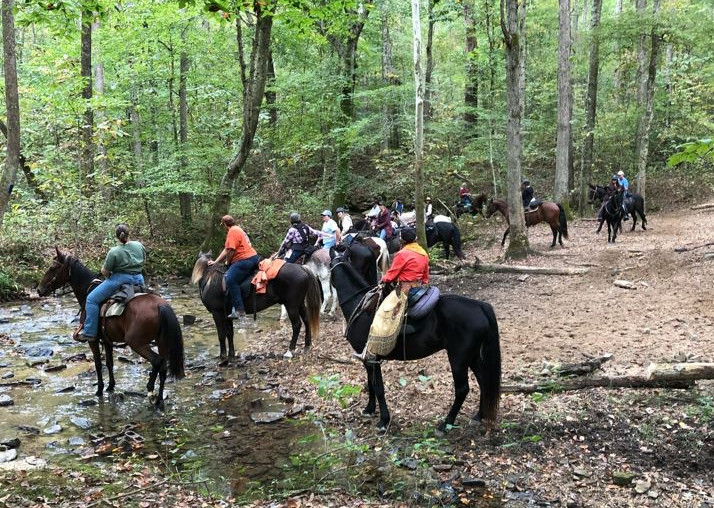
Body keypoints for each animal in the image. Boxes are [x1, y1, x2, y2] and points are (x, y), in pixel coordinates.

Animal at [37, 248, 185, 409]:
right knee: (163, 366)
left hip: (137, 343)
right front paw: (110, 386)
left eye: (52, 267)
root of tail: (161, 305)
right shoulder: (107, 340)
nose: (39, 290)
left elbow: (97, 363)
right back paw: (159, 400)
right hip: (162, 342)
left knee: (156, 361)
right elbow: (109, 363)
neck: (87, 291)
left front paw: (100, 389)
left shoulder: (93, 340)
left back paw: (150, 392)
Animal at [191, 252, 322, 359]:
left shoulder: (217, 312)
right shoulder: (227, 313)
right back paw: (307, 345)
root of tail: (302, 267)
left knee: (297, 324)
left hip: (291, 305)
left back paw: (290, 351)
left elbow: (221, 335)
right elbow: (230, 333)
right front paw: (231, 355)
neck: (210, 280)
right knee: (306, 320)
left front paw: (222, 356)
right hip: (299, 303)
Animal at [329, 249, 501, 432]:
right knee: (484, 381)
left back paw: (445, 424)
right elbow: (370, 384)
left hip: (458, 358)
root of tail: (480, 306)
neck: (362, 307)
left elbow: (378, 387)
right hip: (473, 357)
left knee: (462, 389)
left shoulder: (373, 359)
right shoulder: (368, 359)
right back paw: (478, 416)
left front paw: (383, 421)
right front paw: (369, 409)